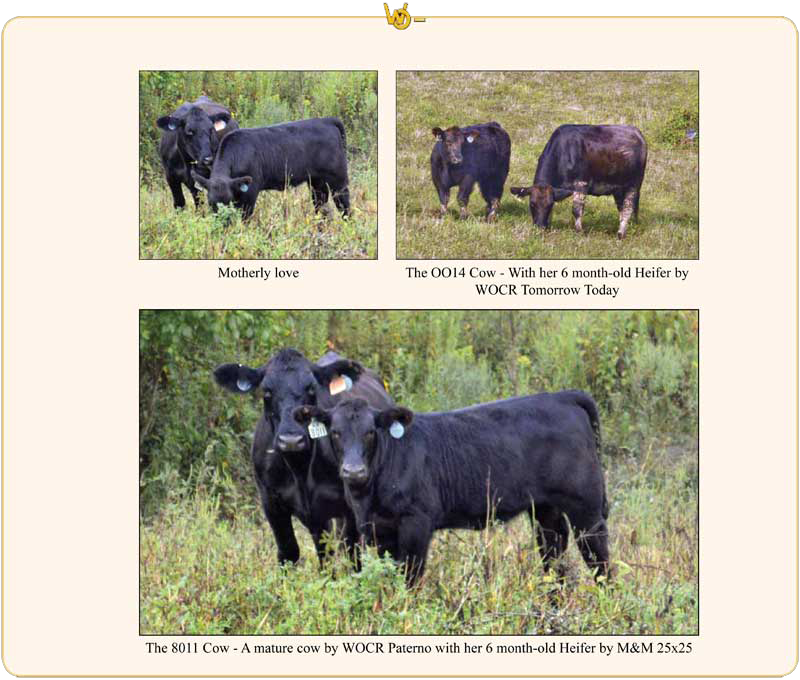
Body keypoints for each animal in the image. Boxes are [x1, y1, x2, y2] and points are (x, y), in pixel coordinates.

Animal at [192, 117, 350, 221]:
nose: (223, 222)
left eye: (228, 201)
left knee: (344, 205)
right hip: (317, 182)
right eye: (211, 203)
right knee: (321, 206)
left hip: (339, 180)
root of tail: (326, 120)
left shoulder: (250, 192)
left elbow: (245, 217)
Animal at [214, 349, 393, 568]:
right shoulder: (271, 501)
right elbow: (290, 551)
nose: (291, 440)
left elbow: (351, 553)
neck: (299, 468)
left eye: (311, 389)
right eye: (266, 391)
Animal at [294, 391, 609, 586]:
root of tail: (562, 396)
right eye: (335, 432)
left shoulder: (416, 524)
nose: (353, 471)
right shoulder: (380, 531)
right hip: (546, 510)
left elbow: (410, 578)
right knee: (553, 557)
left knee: (600, 562)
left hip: (587, 510)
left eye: (371, 432)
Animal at [510, 124, 647, 239]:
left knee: (628, 207)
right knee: (622, 208)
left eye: (549, 205)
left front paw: (579, 231)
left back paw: (621, 233)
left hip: (634, 184)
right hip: (618, 188)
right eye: (532, 204)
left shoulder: (581, 183)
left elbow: (576, 210)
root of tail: (636, 131)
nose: (540, 227)